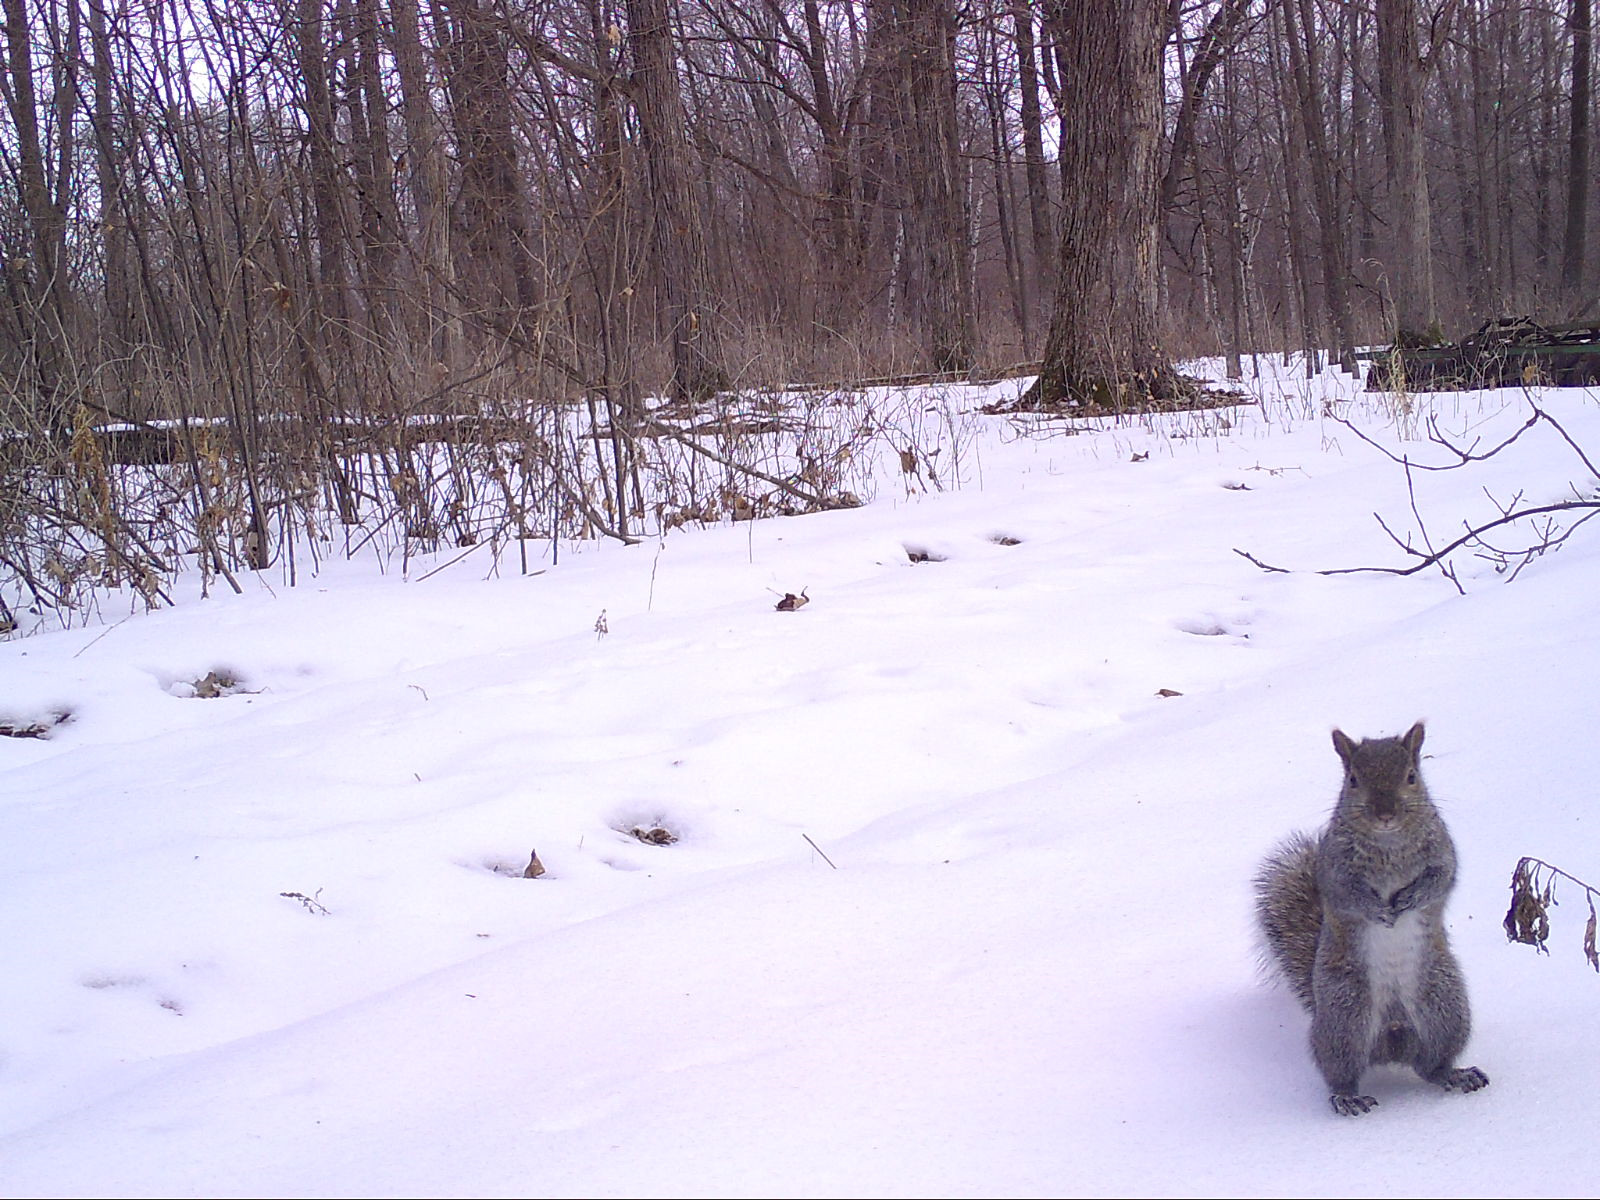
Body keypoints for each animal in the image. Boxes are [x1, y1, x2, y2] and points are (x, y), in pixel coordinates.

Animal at [1254, 721, 1489, 1116]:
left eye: (1411, 776)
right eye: (1352, 779)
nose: (1385, 812)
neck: (1388, 843)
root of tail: (1392, 1039)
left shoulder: (1442, 853)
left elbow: (1440, 879)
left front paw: (1410, 899)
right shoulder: (1335, 871)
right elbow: (1349, 895)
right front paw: (1378, 910)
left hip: (1445, 1007)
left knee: (1431, 1065)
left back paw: (1455, 1075)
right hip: (1345, 1018)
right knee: (1341, 1069)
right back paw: (1347, 1097)